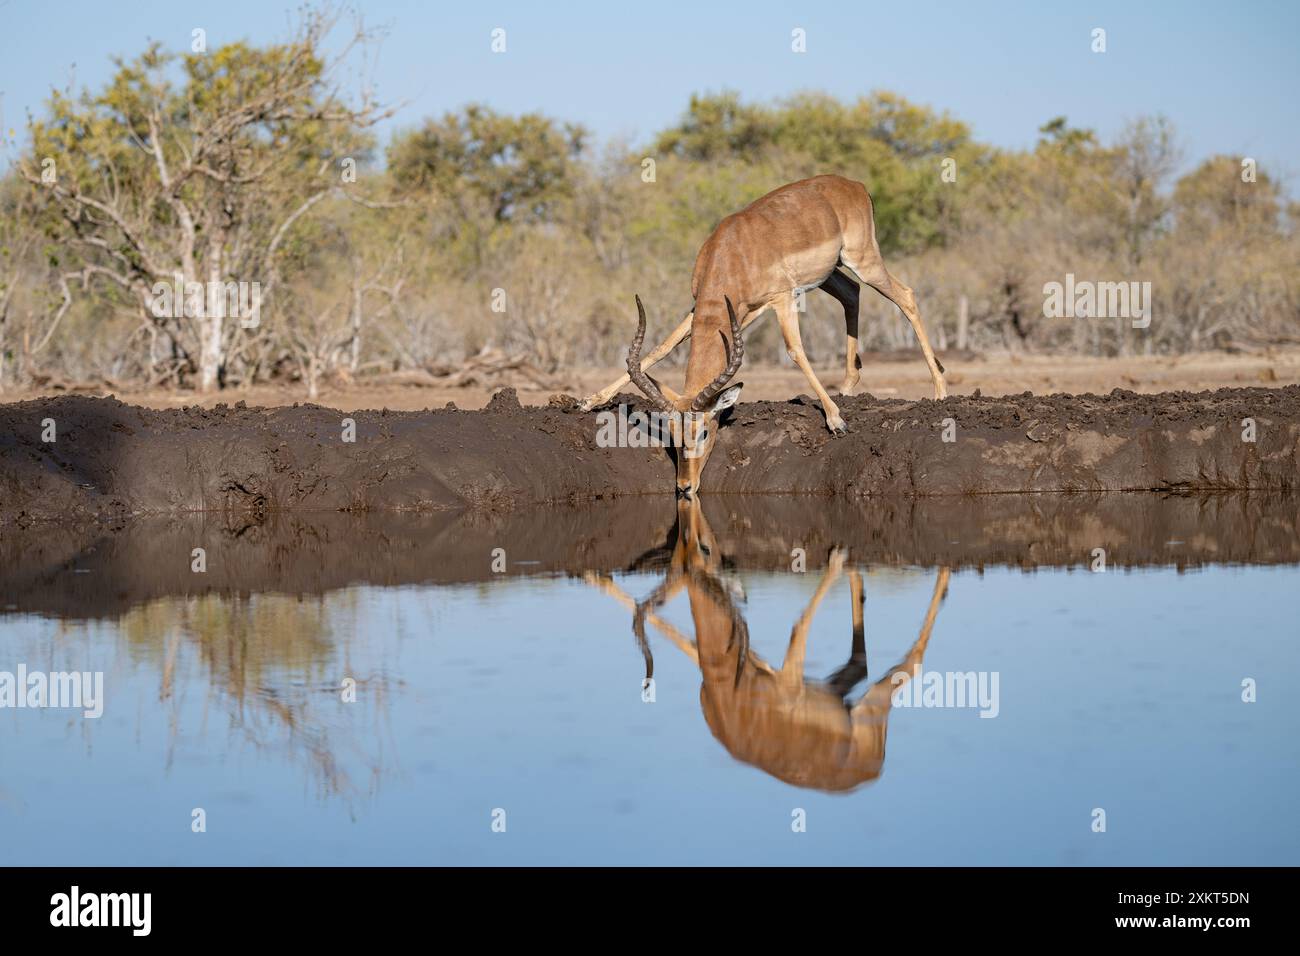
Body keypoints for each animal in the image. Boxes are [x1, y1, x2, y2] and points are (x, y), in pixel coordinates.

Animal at [581, 174, 949, 497]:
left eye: (704, 431)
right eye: (672, 434)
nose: (684, 486)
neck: (734, 251)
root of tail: (854, 184)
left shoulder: (782, 299)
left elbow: (795, 349)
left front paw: (835, 421)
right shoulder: (701, 307)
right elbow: (661, 348)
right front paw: (590, 400)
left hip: (863, 260)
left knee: (906, 296)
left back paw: (940, 390)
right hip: (831, 273)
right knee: (852, 294)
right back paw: (847, 385)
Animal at [587, 499, 951, 792]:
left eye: (703, 548)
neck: (727, 689)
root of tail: (871, 771)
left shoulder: (786, 677)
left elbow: (796, 625)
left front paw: (837, 555)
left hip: (870, 706)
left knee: (913, 660)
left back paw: (943, 573)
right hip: (841, 691)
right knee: (860, 661)